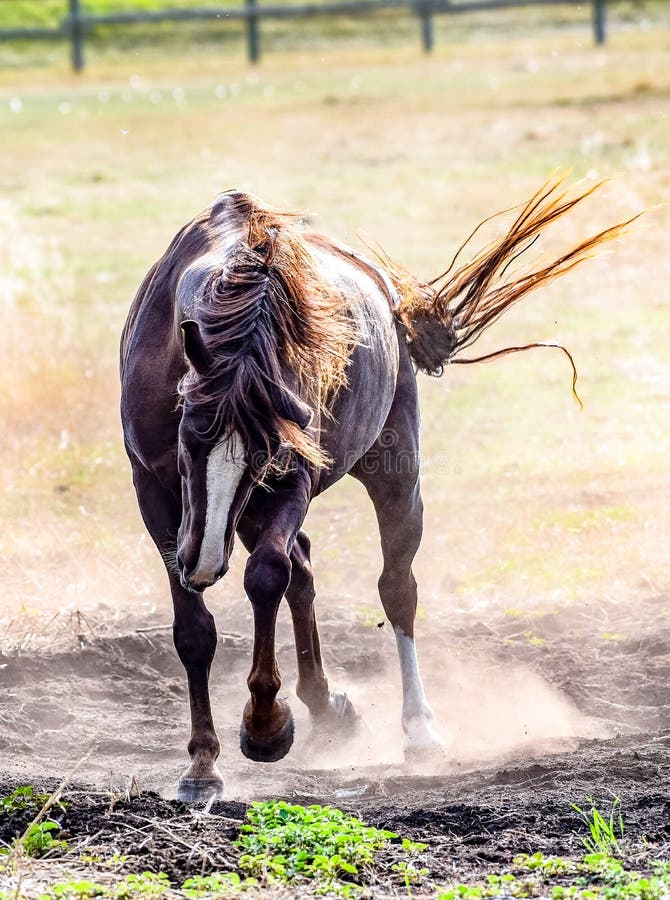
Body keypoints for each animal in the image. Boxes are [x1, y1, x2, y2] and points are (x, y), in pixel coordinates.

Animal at [120, 181, 627, 802]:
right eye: (188, 431)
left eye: (266, 453)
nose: (206, 560)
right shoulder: (155, 492)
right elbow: (195, 630)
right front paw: (202, 764)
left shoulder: (291, 477)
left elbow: (266, 576)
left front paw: (265, 726)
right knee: (303, 568)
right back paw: (326, 706)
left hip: (393, 475)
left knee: (392, 587)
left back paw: (417, 731)